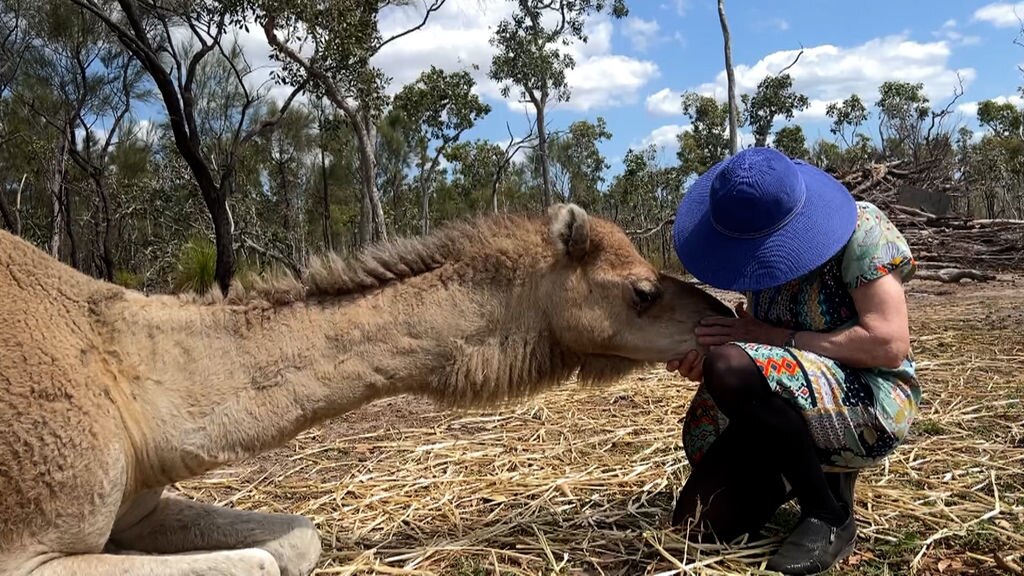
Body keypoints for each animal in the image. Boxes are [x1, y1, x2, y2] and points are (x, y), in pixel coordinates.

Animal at [0, 203, 731, 576]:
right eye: (642, 291)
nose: (720, 314)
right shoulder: (26, 551)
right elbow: (258, 562)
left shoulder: (141, 508)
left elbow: (296, 539)